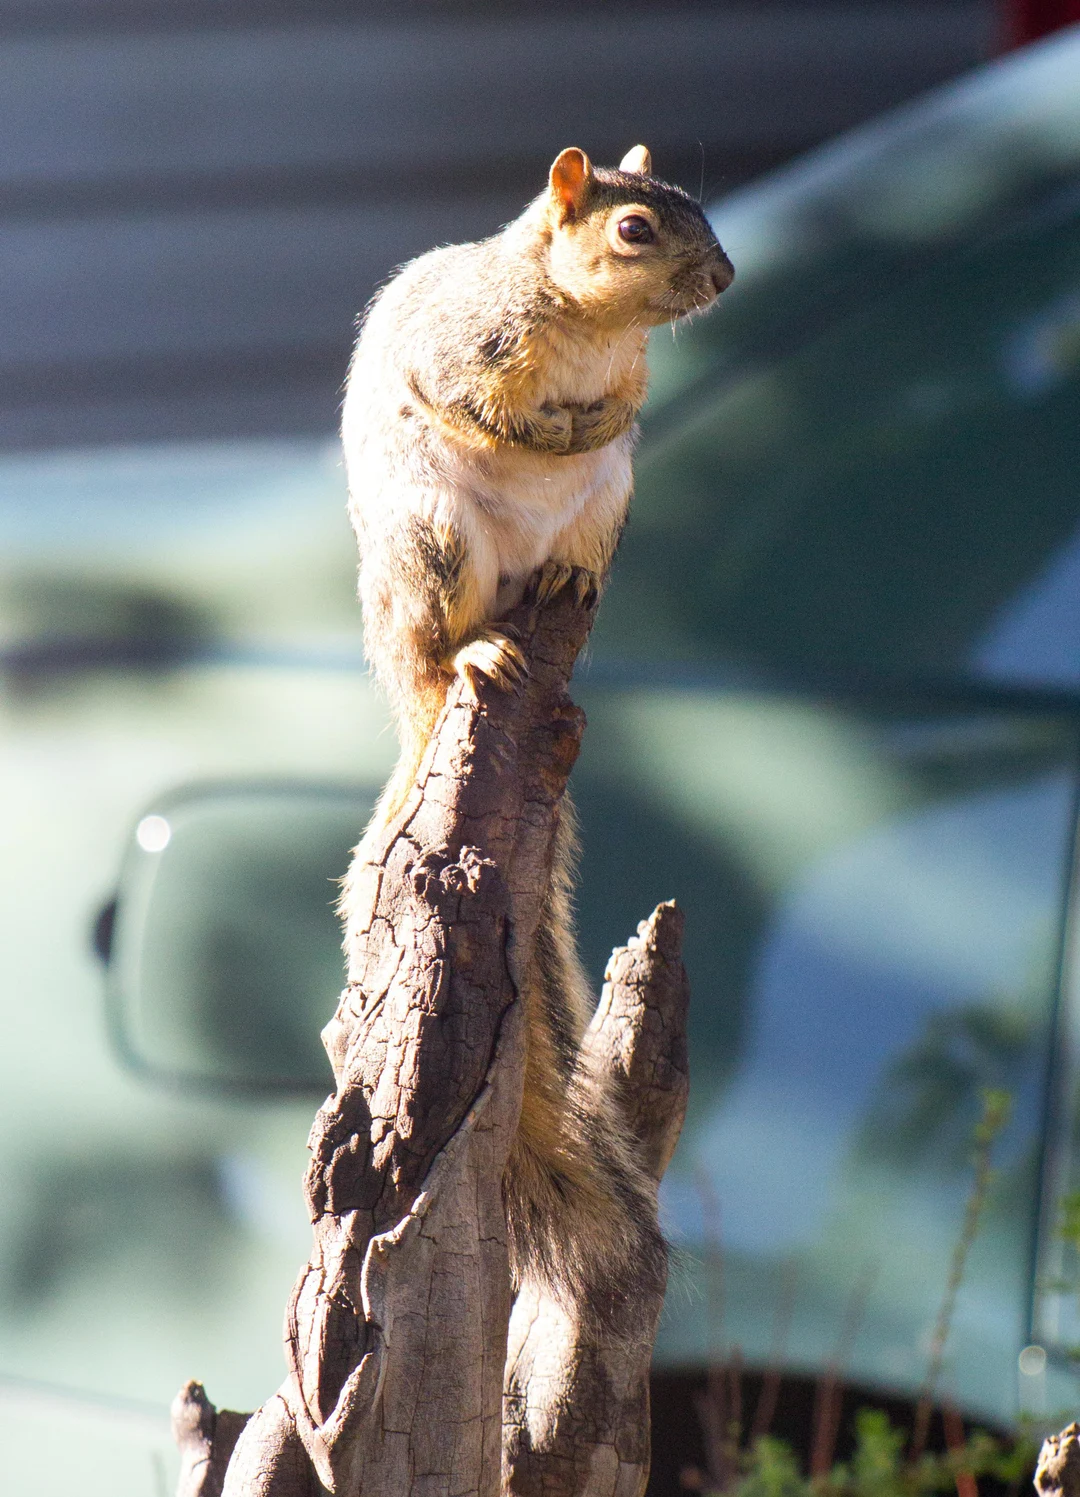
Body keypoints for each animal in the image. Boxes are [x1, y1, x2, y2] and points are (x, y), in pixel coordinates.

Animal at [340, 145, 732, 1314]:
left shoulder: (631, 380)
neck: (590, 321)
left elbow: (626, 406)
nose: (726, 277)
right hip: (433, 544)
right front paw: (545, 429)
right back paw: (470, 657)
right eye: (636, 229)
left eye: (695, 211)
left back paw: (561, 581)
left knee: (571, 564)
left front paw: (593, 423)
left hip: (603, 518)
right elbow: (474, 401)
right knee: (439, 648)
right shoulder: (463, 350)